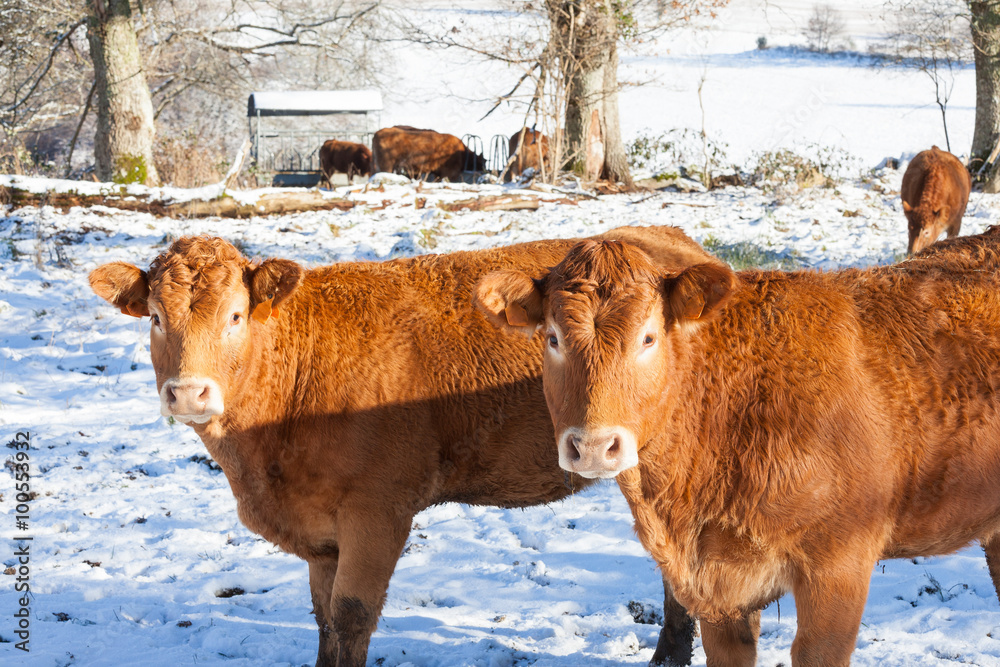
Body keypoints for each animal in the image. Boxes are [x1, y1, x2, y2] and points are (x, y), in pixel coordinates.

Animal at [87, 225, 719, 667]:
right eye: (155, 317)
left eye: (236, 316)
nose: (188, 392)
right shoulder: (323, 536)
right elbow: (323, 619)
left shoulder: (377, 510)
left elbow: (351, 616)